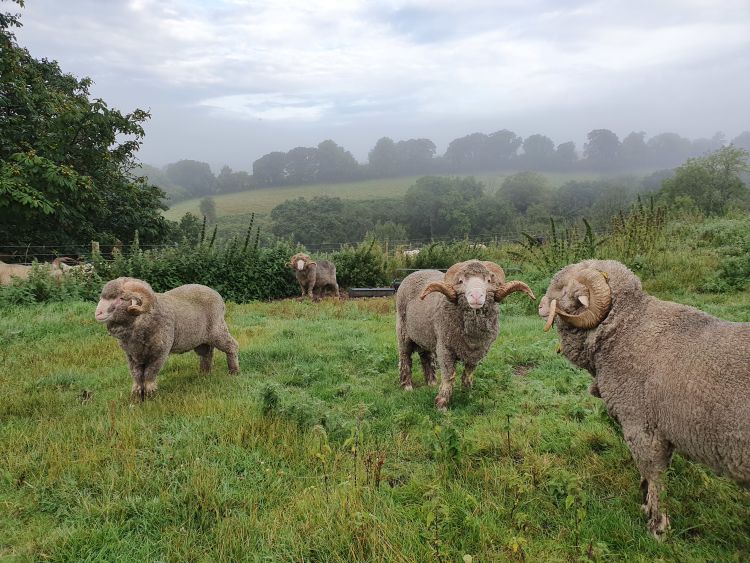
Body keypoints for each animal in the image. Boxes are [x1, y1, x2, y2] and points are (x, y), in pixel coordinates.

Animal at [95, 277, 240, 400]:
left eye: (120, 298)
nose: (97, 313)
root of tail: (216, 294)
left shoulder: (160, 352)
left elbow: (149, 374)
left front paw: (150, 395)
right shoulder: (132, 355)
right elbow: (137, 376)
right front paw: (137, 396)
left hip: (217, 329)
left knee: (232, 346)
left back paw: (234, 372)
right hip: (201, 340)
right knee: (207, 354)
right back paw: (204, 374)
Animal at [396, 260, 535, 410]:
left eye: (488, 280)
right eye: (461, 281)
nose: (476, 296)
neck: (472, 335)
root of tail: (418, 271)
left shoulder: (476, 353)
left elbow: (468, 375)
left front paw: (467, 396)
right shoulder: (445, 348)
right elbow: (449, 376)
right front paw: (442, 404)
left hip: (425, 335)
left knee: (426, 357)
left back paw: (431, 383)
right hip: (403, 332)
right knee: (405, 357)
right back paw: (407, 386)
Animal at [539, 259, 750, 538]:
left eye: (563, 288)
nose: (540, 306)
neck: (627, 328)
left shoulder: (641, 426)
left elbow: (654, 474)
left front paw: (657, 524)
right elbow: (650, 475)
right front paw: (646, 504)